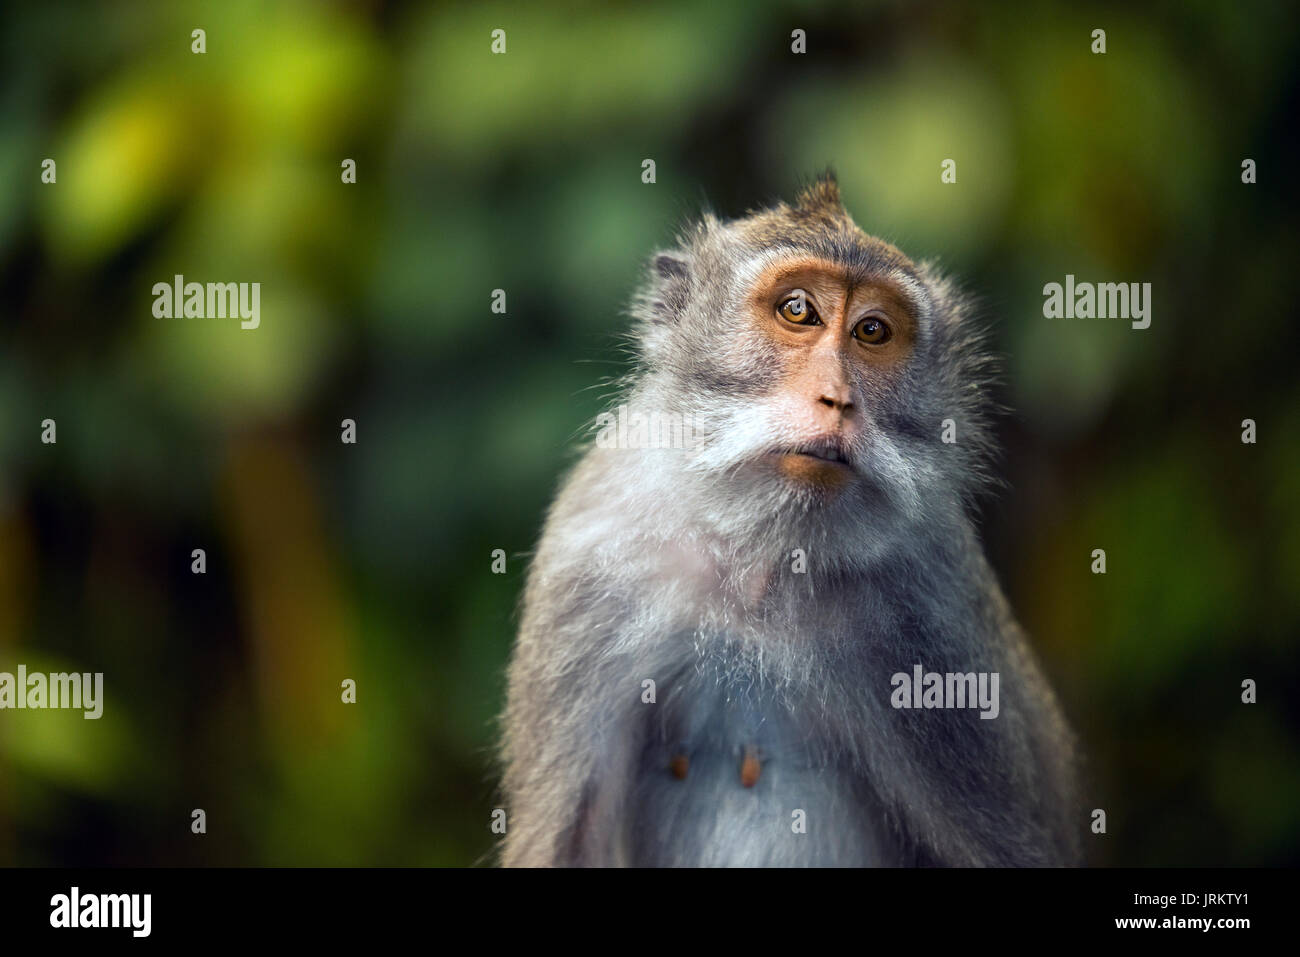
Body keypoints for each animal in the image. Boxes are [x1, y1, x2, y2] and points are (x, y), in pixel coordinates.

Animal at [500, 174, 1079, 867]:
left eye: (873, 330)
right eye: (798, 311)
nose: (838, 399)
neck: (764, 556)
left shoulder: (940, 616)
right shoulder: (589, 558)